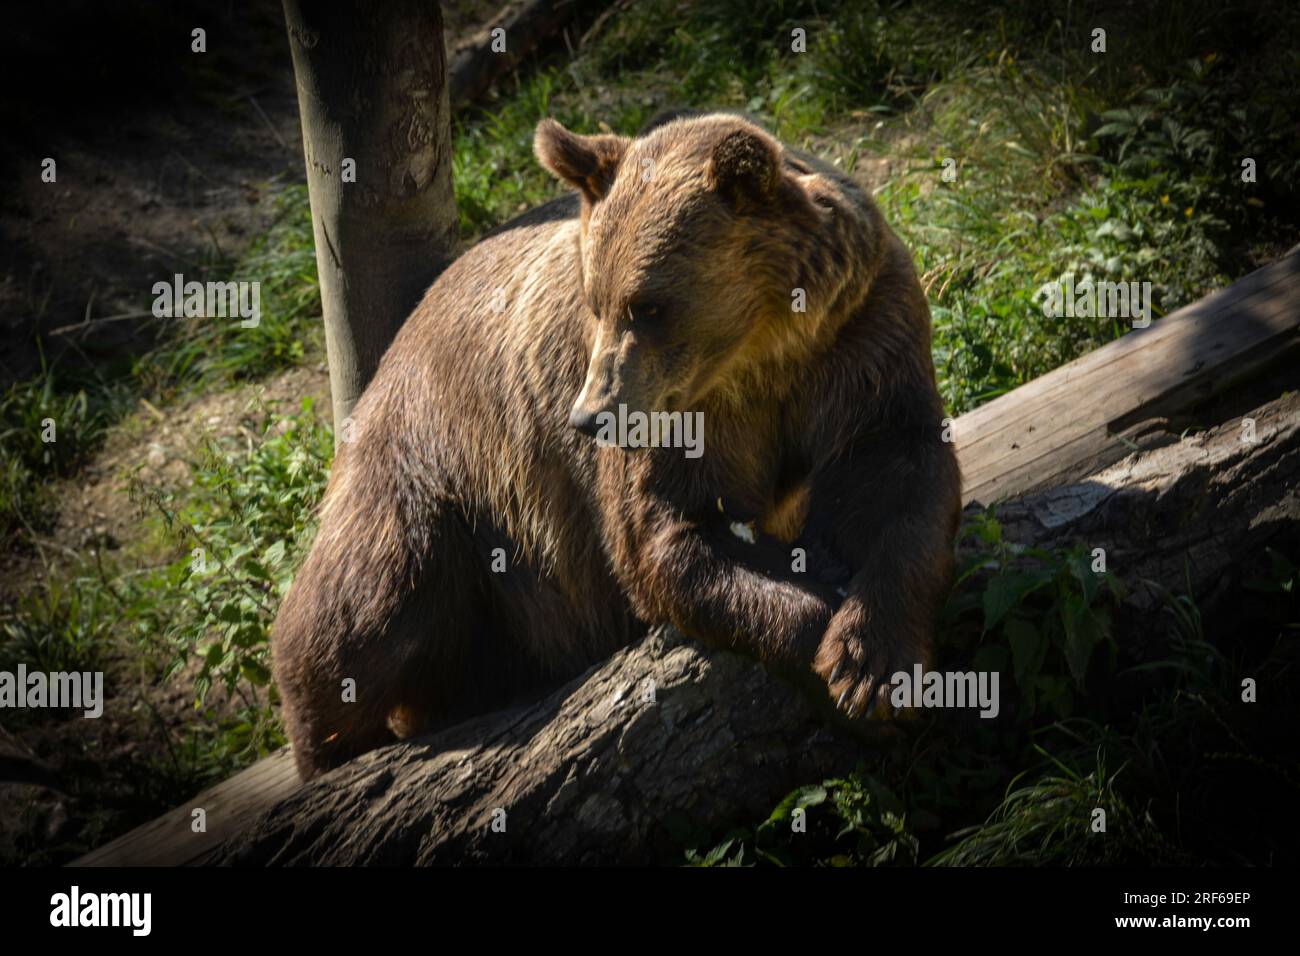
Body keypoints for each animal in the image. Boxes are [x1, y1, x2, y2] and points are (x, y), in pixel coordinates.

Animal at [271, 110, 963, 781]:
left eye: (650, 305)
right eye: (595, 299)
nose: (591, 417)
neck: (758, 354)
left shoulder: (858, 341)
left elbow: (903, 476)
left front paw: (873, 662)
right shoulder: (676, 424)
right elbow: (665, 540)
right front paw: (829, 638)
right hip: (440, 472)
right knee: (371, 600)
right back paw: (328, 746)